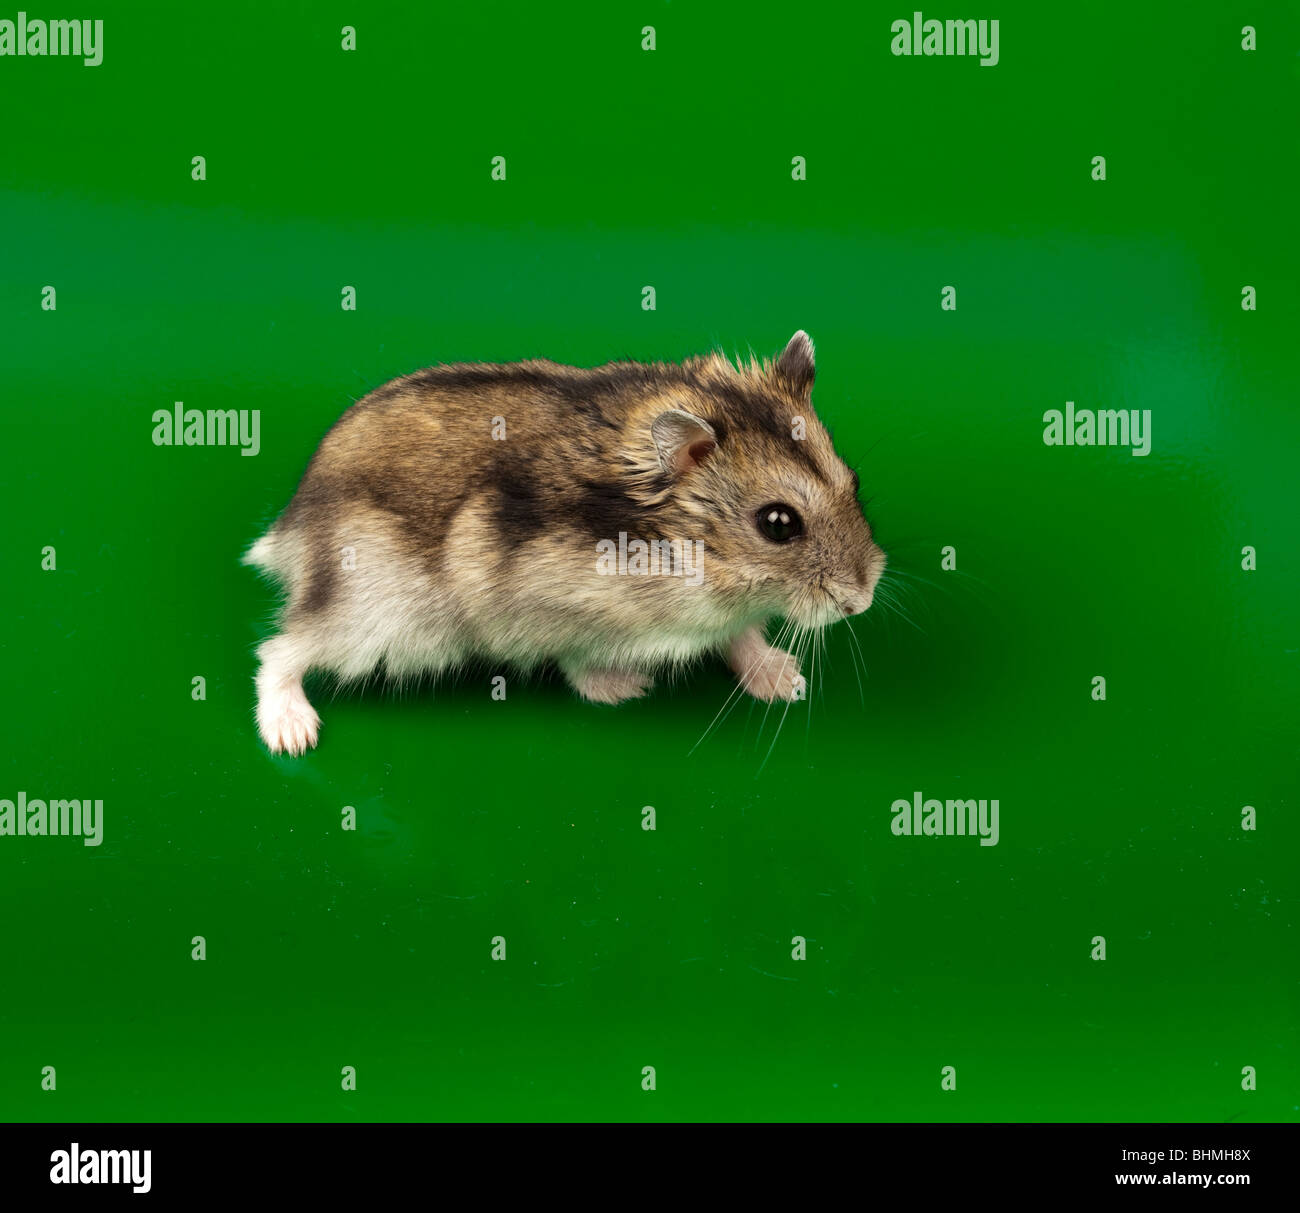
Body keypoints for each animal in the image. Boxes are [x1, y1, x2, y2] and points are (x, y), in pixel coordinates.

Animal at [244, 331, 886, 755]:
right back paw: (292, 735)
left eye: (853, 481)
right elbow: (578, 658)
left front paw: (788, 684)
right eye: (777, 524)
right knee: (279, 650)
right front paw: (627, 688)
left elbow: (743, 635)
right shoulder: (555, 610)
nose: (862, 602)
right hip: (373, 617)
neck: (688, 553)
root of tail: (294, 523)